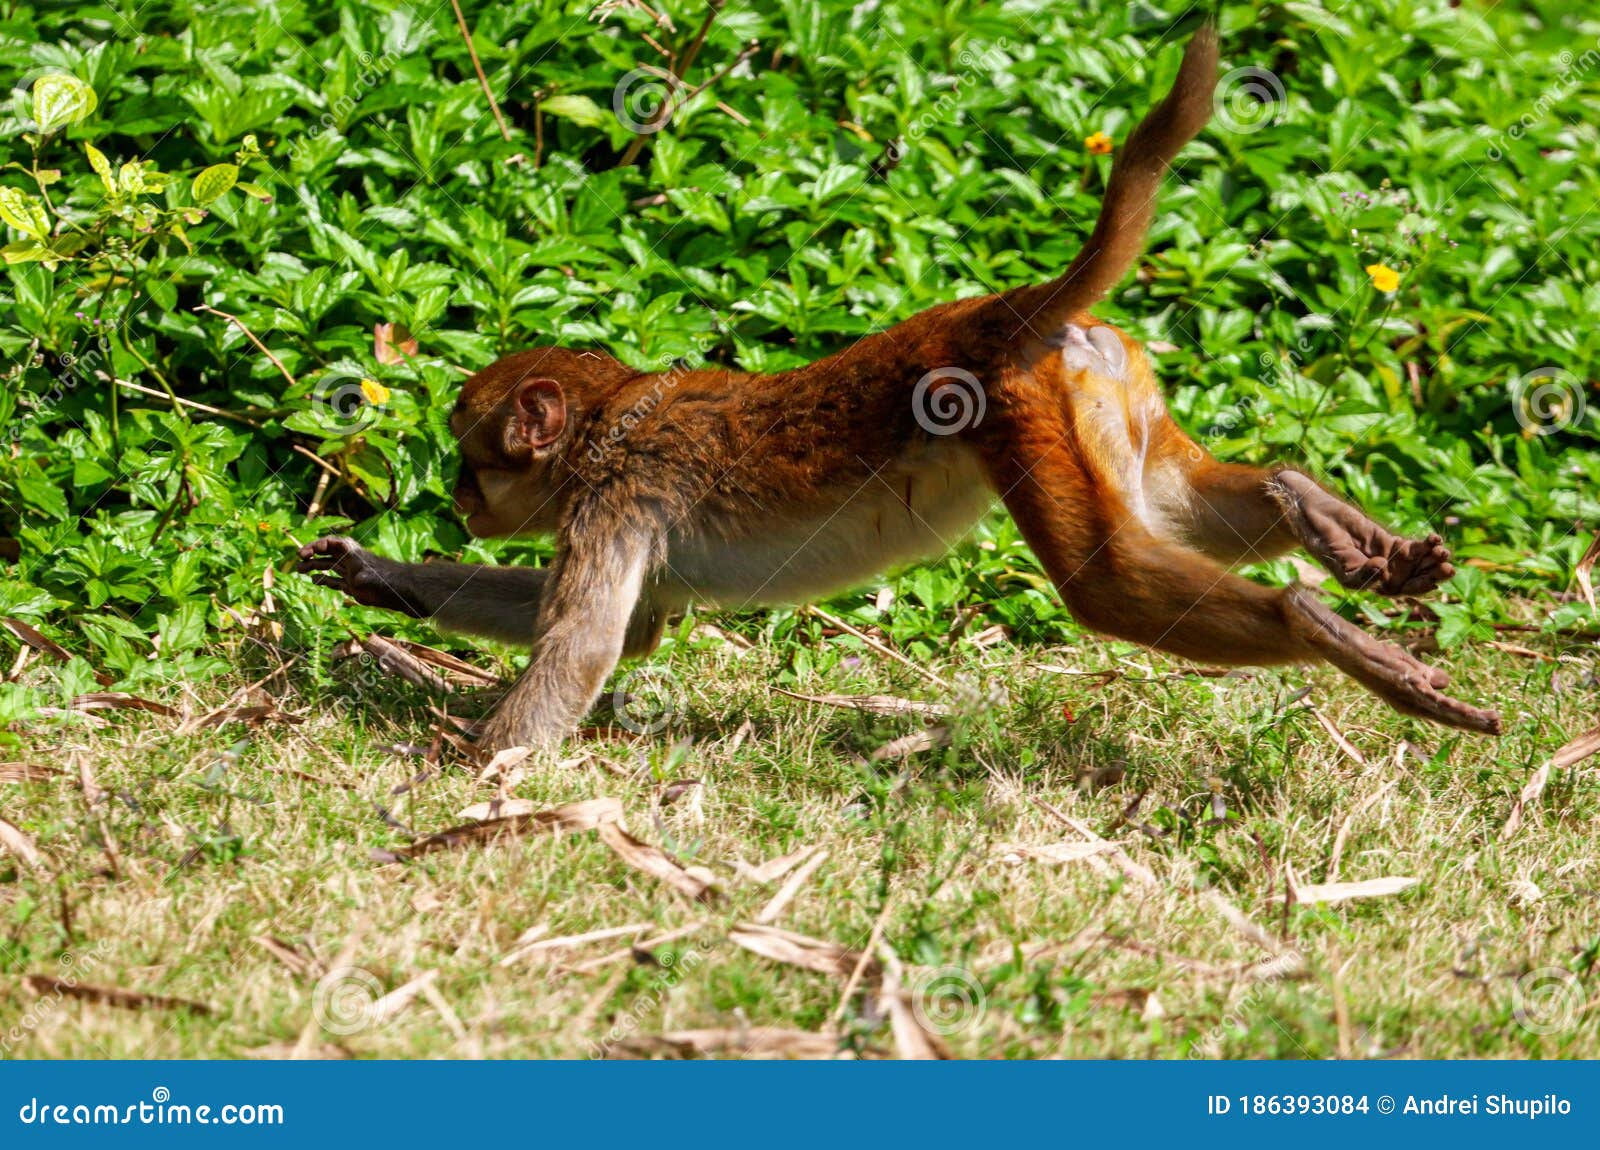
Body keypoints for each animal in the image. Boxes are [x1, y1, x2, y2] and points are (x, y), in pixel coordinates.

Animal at [298, 25, 1501, 752]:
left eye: (471, 461)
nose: (458, 503)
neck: (610, 422)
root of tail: (1008, 311)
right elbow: (632, 637)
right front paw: (373, 576)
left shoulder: (619, 497)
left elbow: (588, 650)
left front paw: (475, 765)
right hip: (1101, 392)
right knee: (1171, 510)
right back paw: (1320, 517)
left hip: (1017, 408)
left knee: (1106, 582)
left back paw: (1315, 615)